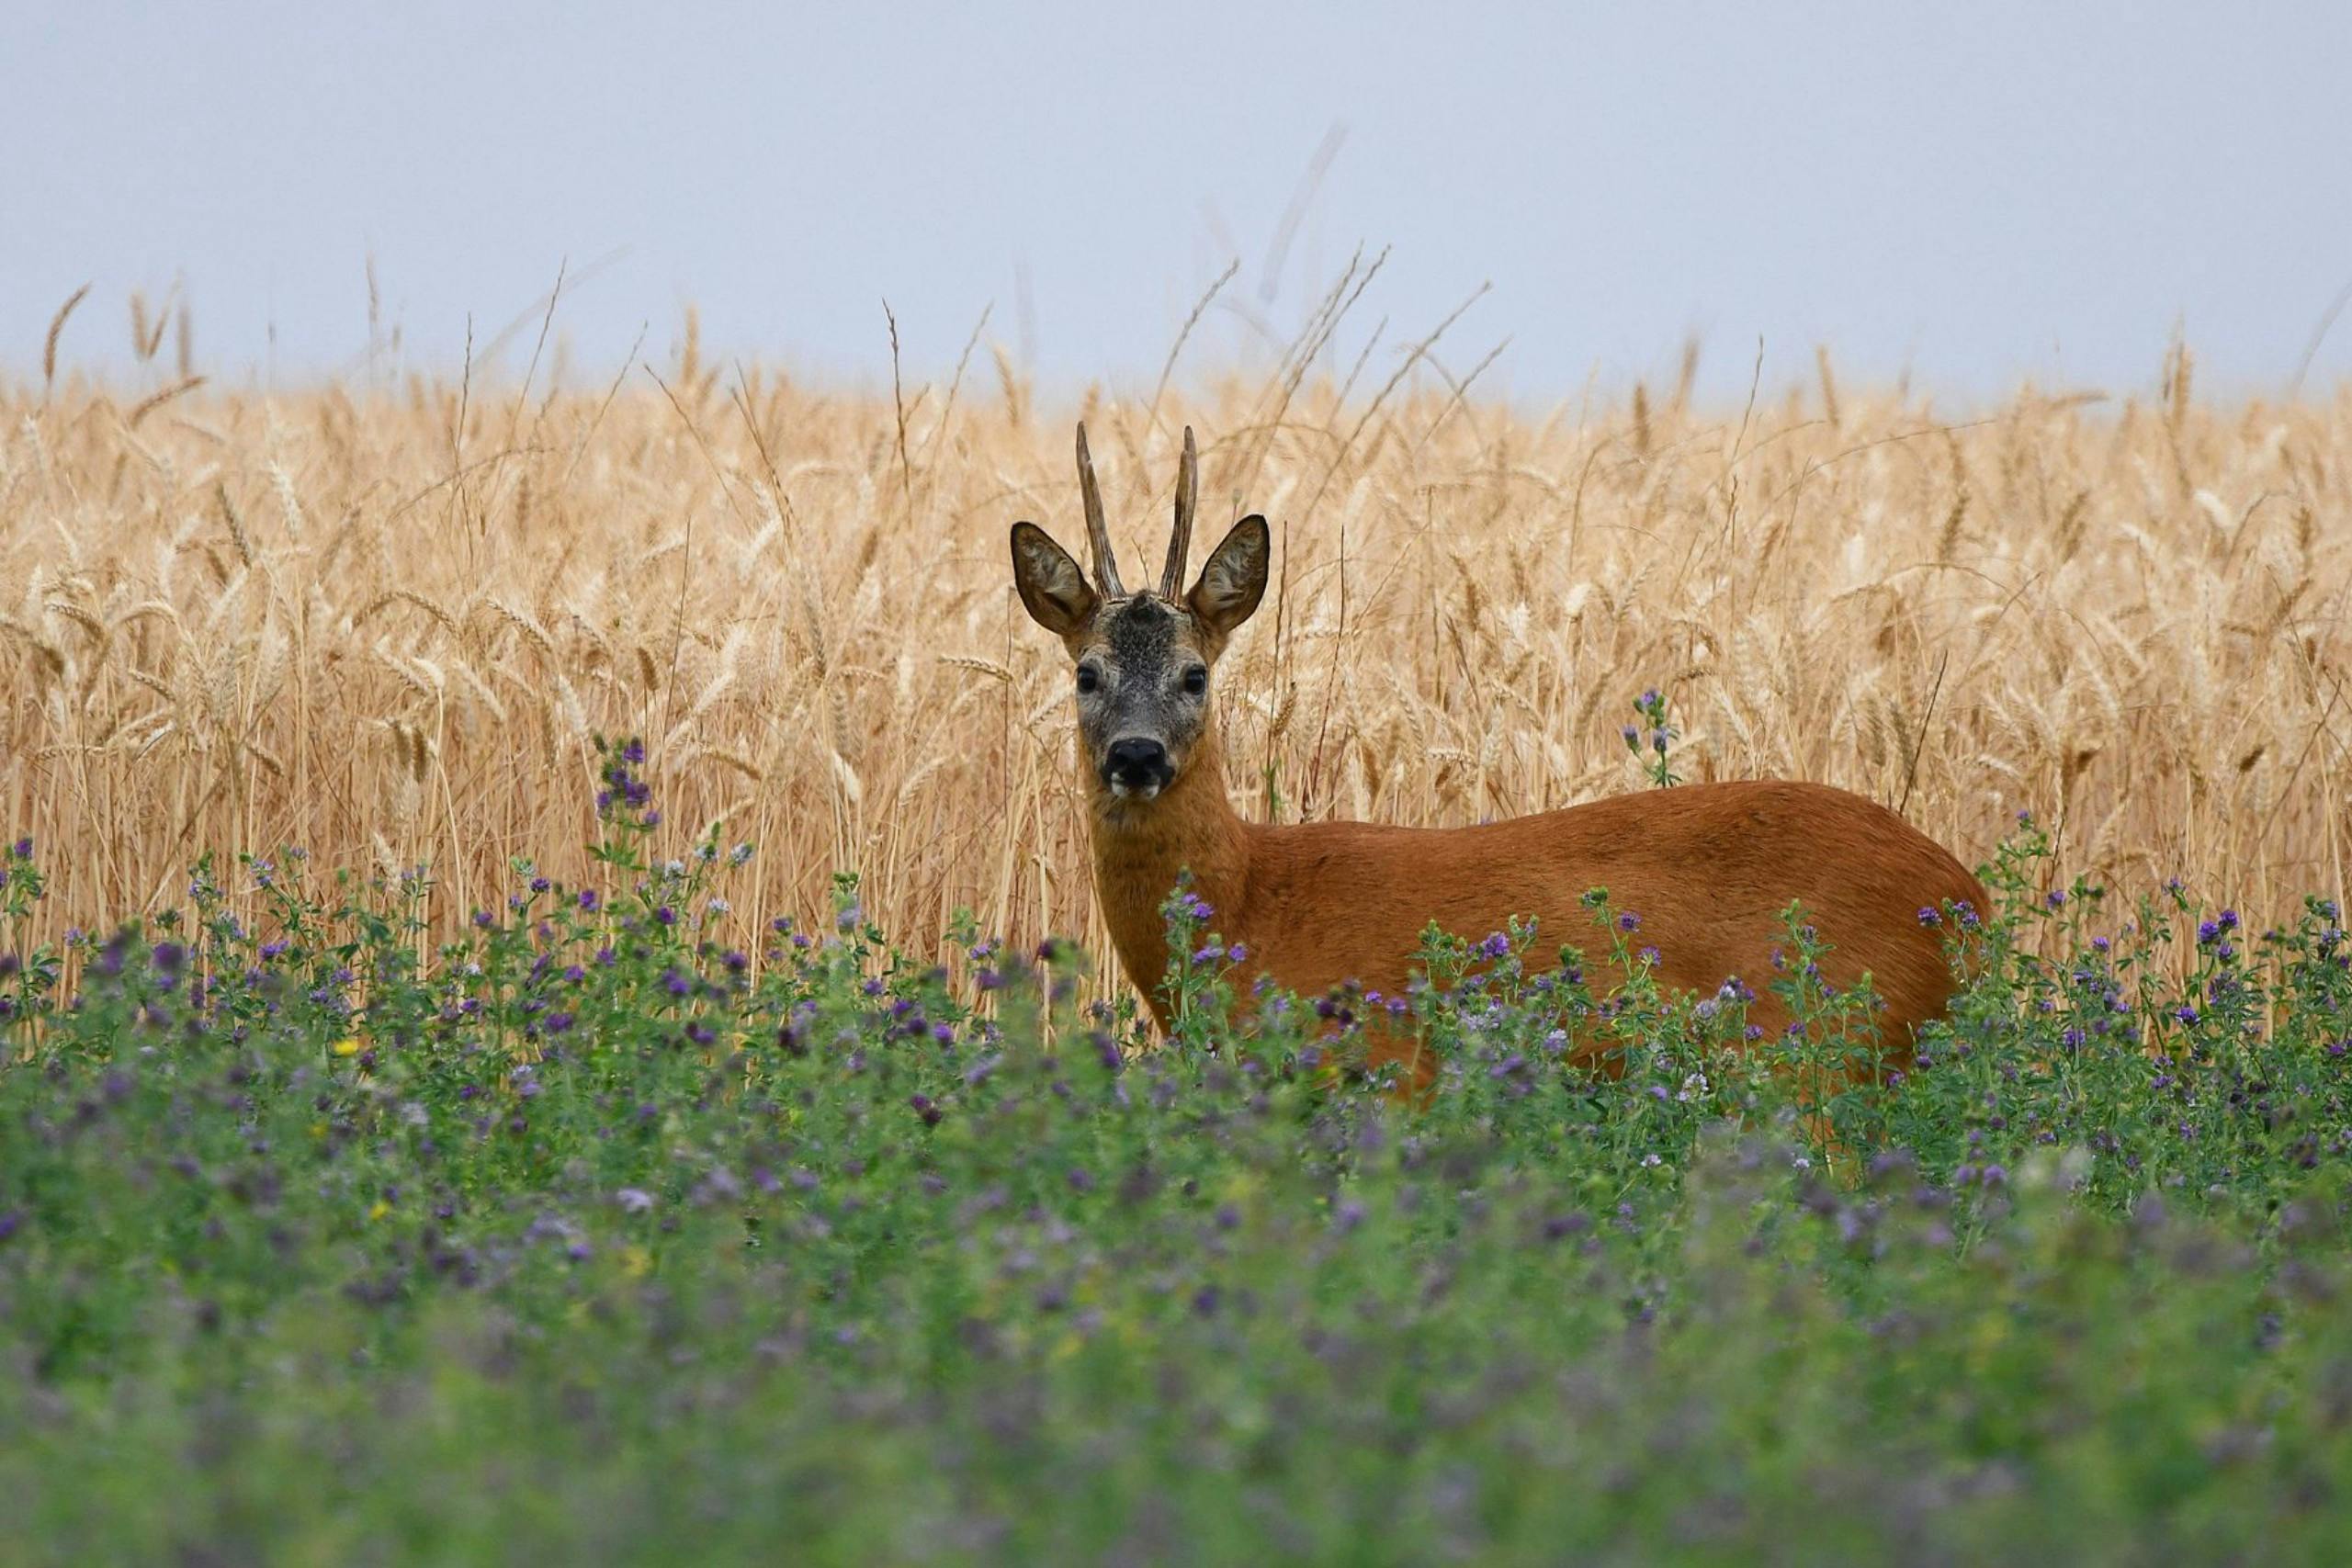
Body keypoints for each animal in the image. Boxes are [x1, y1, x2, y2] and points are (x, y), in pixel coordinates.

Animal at [1009, 423, 1987, 1082]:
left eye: (1195, 674)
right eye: (1087, 673)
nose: (1137, 756)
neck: (1250, 901)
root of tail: (1973, 904)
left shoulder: (1382, 1075)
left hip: (1829, 1050)